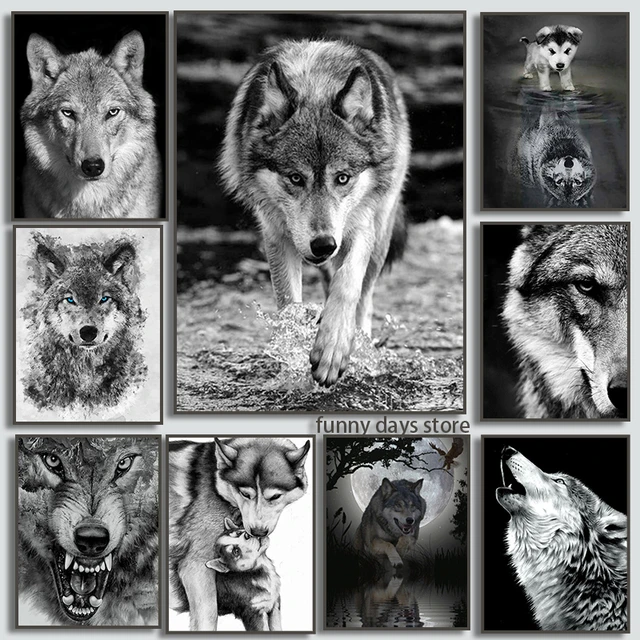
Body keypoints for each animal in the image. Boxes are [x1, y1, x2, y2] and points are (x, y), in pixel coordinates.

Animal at [220, 39, 411, 387]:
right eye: (296, 178)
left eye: (343, 178)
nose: (323, 245)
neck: (316, 84)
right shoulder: (276, 235)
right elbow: (289, 307)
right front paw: (293, 355)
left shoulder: (360, 226)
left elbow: (347, 284)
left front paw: (334, 347)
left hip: (380, 236)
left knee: (363, 297)